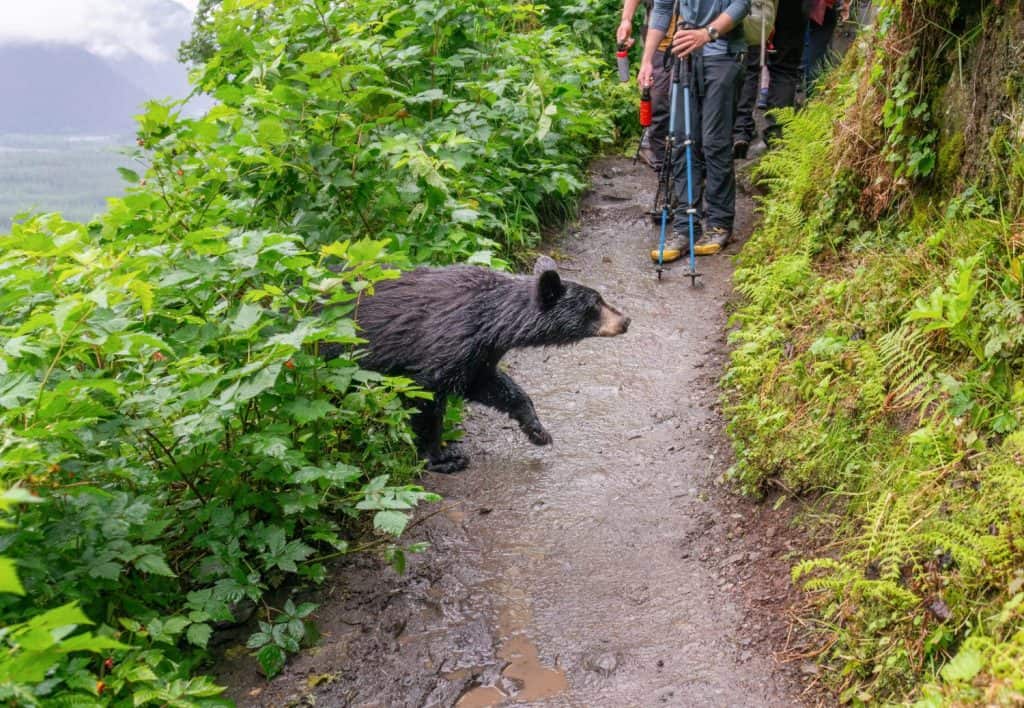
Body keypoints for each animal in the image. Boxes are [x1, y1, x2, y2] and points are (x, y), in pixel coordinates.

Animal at [339, 256, 630, 473]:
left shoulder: (478, 354)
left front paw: (538, 431)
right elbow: (426, 395)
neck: (490, 320)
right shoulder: (446, 342)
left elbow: (494, 387)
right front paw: (443, 458)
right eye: (595, 303)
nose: (626, 320)